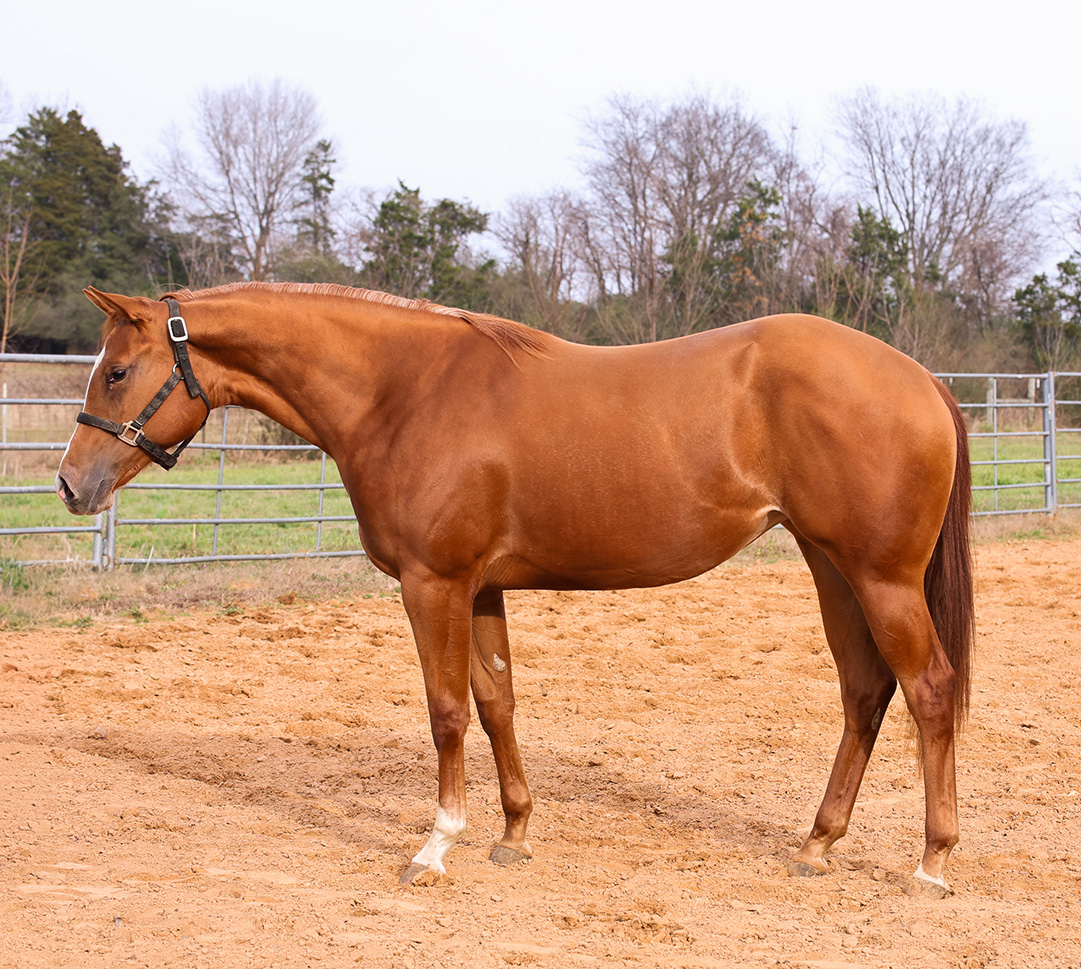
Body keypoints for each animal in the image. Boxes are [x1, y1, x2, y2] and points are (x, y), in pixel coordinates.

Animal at [56, 282, 973, 895]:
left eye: (117, 371)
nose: (71, 485)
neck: (403, 391)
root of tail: (922, 378)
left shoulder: (433, 584)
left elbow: (445, 711)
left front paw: (434, 846)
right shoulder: (482, 589)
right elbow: (497, 703)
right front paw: (513, 831)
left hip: (880, 577)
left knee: (928, 690)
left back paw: (929, 864)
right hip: (830, 567)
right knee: (864, 692)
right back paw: (817, 843)